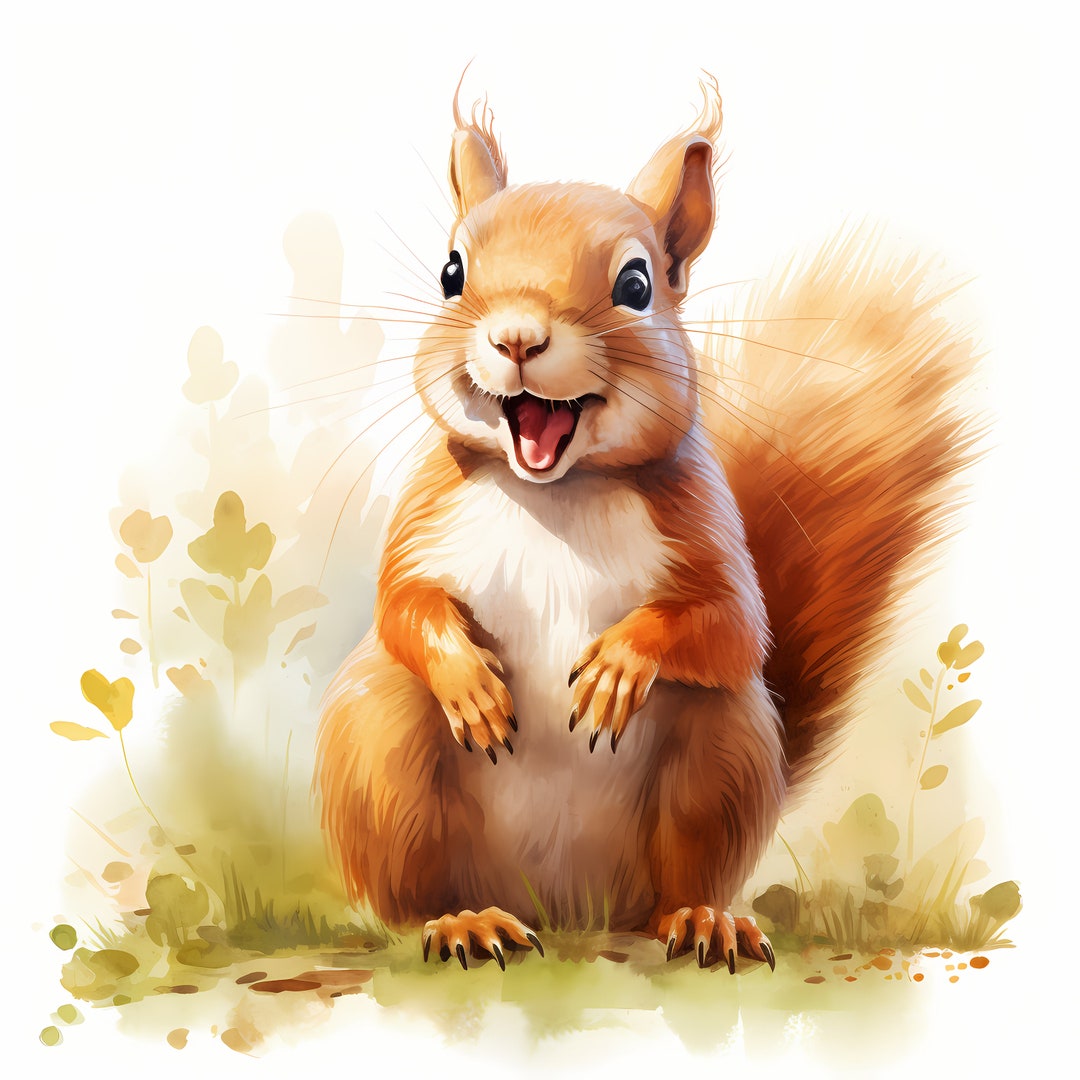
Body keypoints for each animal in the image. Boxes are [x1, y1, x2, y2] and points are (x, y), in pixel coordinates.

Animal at [315, 78, 978, 972]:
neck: (555, 495)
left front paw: (617, 668)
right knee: (405, 894)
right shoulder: (423, 520)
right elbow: (400, 608)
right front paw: (470, 683)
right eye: (450, 272)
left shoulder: (707, 531)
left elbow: (732, 626)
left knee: (682, 866)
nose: (517, 336)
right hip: (379, 748)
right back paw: (462, 921)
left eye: (637, 286)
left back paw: (703, 918)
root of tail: (566, 909)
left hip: (723, 751)